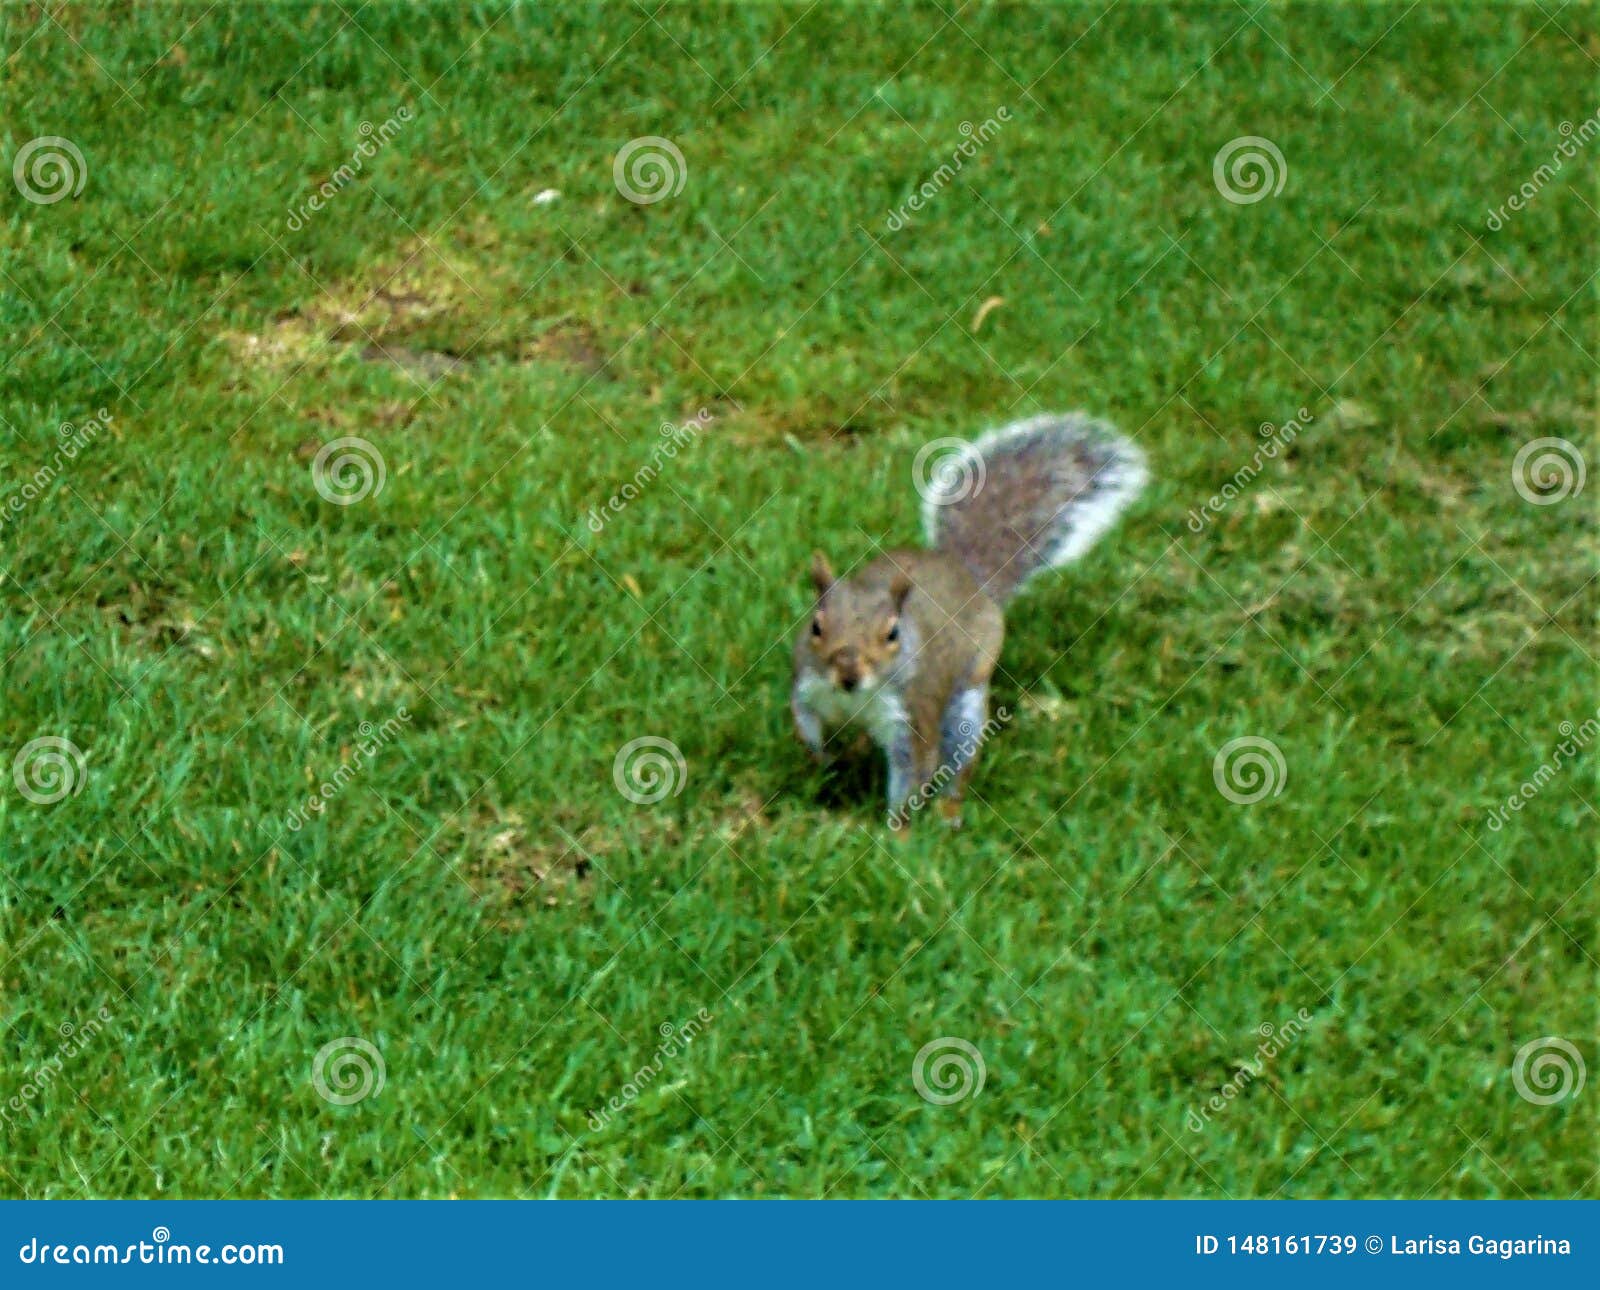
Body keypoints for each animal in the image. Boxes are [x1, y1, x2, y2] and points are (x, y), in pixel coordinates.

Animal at [791, 412, 1148, 830]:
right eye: (816, 627)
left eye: (892, 633)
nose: (848, 674)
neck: (854, 699)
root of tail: (966, 577)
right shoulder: (807, 690)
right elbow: (807, 731)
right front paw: (821, 766)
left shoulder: (913, 715)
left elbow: (913, 774)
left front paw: (895, 834)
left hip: (968, 696)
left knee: (959, 761)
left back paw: (949, 813)